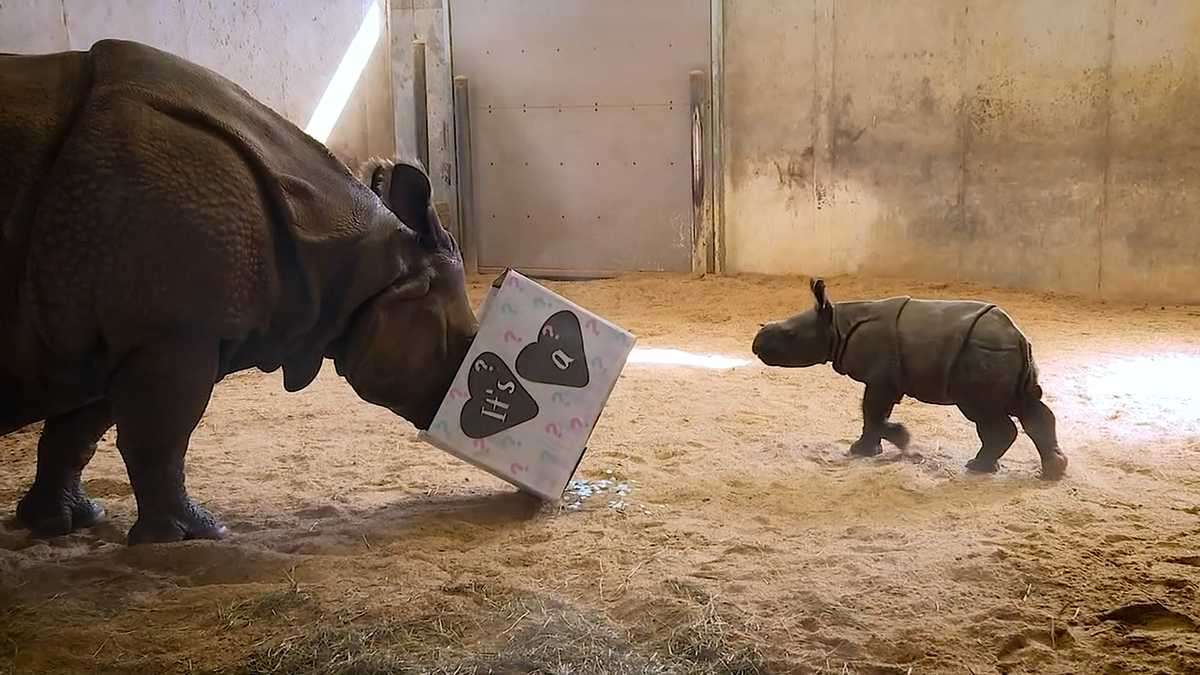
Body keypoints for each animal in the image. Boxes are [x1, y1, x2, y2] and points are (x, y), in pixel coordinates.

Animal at [0, 40, 478, 544]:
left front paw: (63, 522)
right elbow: (161, 435)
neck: (363, 264)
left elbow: (78, 429)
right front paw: (192, 534)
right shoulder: (174, 330)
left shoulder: (116, 333)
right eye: (468, 340)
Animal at [751, 279, 1068, 480]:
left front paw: (896, 440)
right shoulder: (887, 379)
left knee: (984, 412)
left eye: (789, 335)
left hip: (982, 354)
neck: (838, 325)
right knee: (1027, 406)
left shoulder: (881, 377)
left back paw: (977, 467)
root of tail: (1018, 338)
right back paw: (1052, 471)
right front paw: (869, 450)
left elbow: (872, 412)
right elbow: (874, 413)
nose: (755, 344)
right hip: (1005, 354)